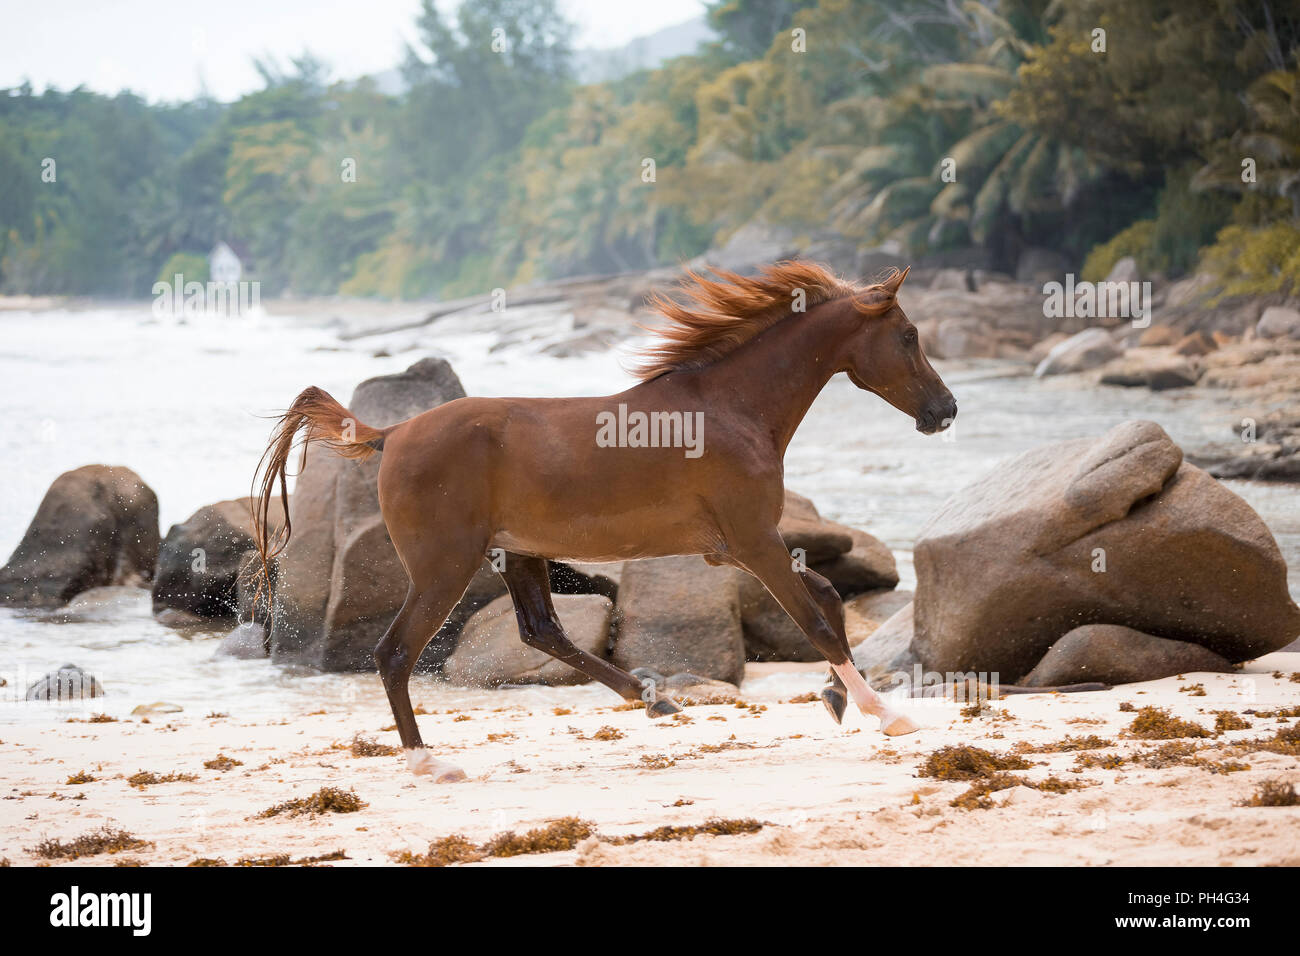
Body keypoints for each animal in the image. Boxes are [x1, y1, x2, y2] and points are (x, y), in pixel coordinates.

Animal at [252, 262, 956, 780]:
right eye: (909, 336)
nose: (945, 410)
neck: (730, 408)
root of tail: (392, 434)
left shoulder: (739, 547)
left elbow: (830, 597)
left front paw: (837, 700)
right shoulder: (754, 541)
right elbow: (815, 619)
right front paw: (886, 714)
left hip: (518, 554)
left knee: (542, 632)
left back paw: (656, 699)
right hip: (443, 568)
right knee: (395, 651)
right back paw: (429, 761)